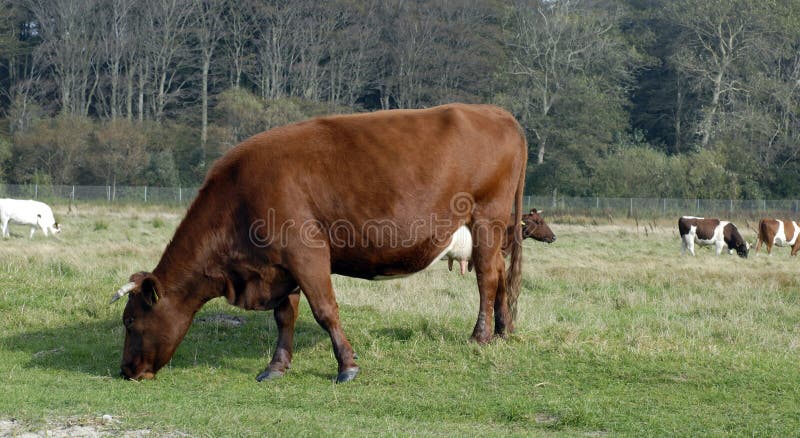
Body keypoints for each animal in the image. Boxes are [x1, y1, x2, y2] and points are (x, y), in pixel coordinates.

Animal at [110, 103, 527, 383]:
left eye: (130, 321)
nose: (126, 370)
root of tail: (495, 111)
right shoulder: (279, 264)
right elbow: (285, 315)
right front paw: (276, 366)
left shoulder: (306, 252)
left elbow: (325, 310)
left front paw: (347, 366)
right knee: (501, 274)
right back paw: (504, 331)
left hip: (487, 218)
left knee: (488, 278)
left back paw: (480, 336)